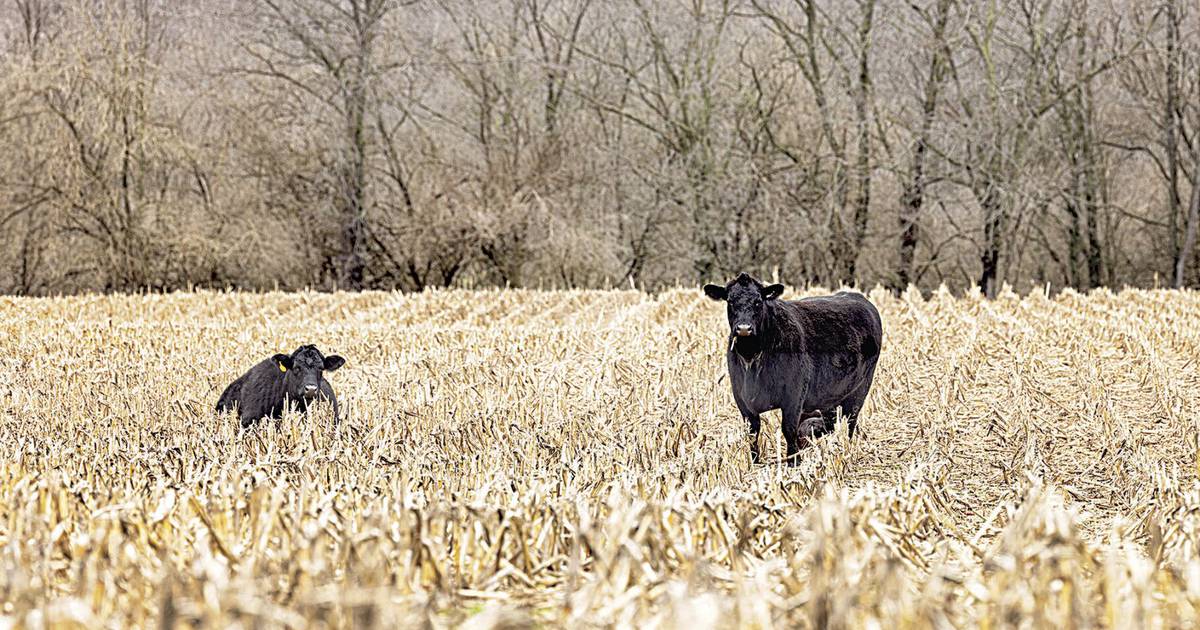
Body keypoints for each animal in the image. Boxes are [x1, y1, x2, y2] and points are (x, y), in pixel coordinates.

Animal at [703, 272, 882, 465]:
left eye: (758, 301)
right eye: (730, 301)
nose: (744, 328)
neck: (751, 356)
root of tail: (855, 296)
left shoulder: (794, 395)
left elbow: (788, 429)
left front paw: (794, 461)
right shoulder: (741, 397)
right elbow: (752, 432)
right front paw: (755, 461)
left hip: (861, 388)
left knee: (850, 421)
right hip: (830, 394)